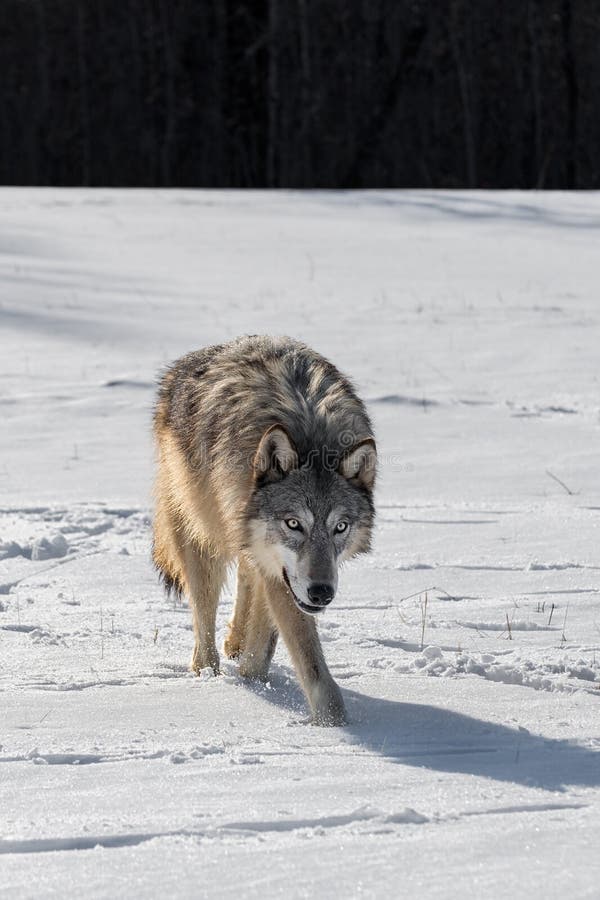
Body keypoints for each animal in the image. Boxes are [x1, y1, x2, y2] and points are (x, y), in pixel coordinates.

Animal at [152, 335, 376, 725]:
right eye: (294, 523)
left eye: (340, 527)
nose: (321, 593)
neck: (312, 438)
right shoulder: (282, 572)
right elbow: (309, 660)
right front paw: (332, 724)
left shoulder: (280, 570)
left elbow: (266, 648)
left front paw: (250, 669)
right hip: (200, 531)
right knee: (204, 609)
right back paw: (206, 672)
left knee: (245, 575)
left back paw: (235, 643)